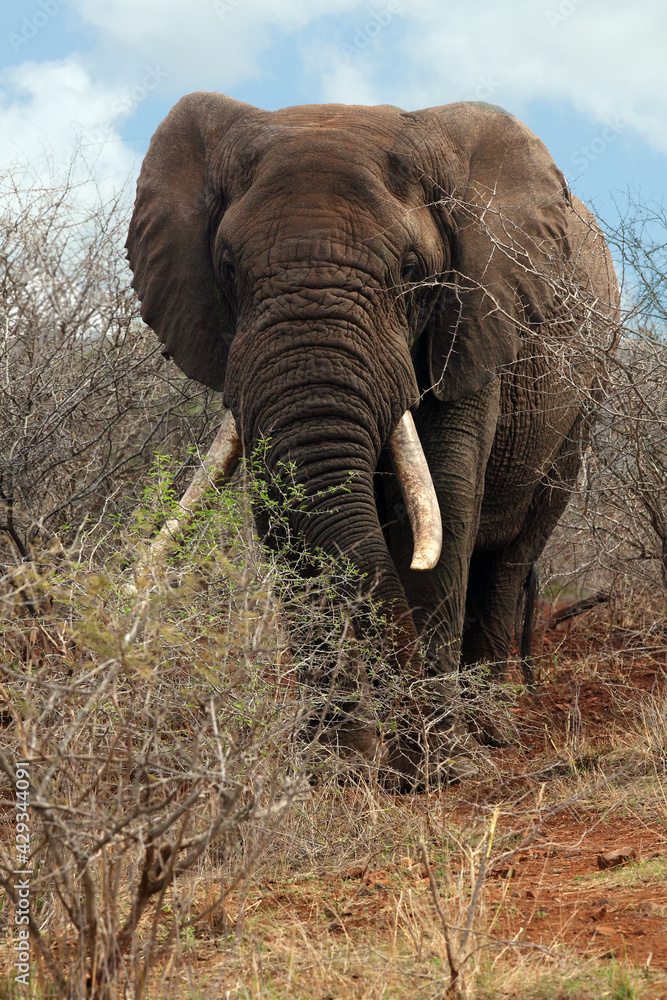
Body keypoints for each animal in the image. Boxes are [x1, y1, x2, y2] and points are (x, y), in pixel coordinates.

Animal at [127, 94, 619, 788]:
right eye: (227, 268)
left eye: (411, 272)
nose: (401, 729)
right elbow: (288, 522)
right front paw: (333, 773)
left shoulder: (473, 318)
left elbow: (443, 506)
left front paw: (434, 771)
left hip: (585, 393)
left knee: (511, 553)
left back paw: (490, 730)